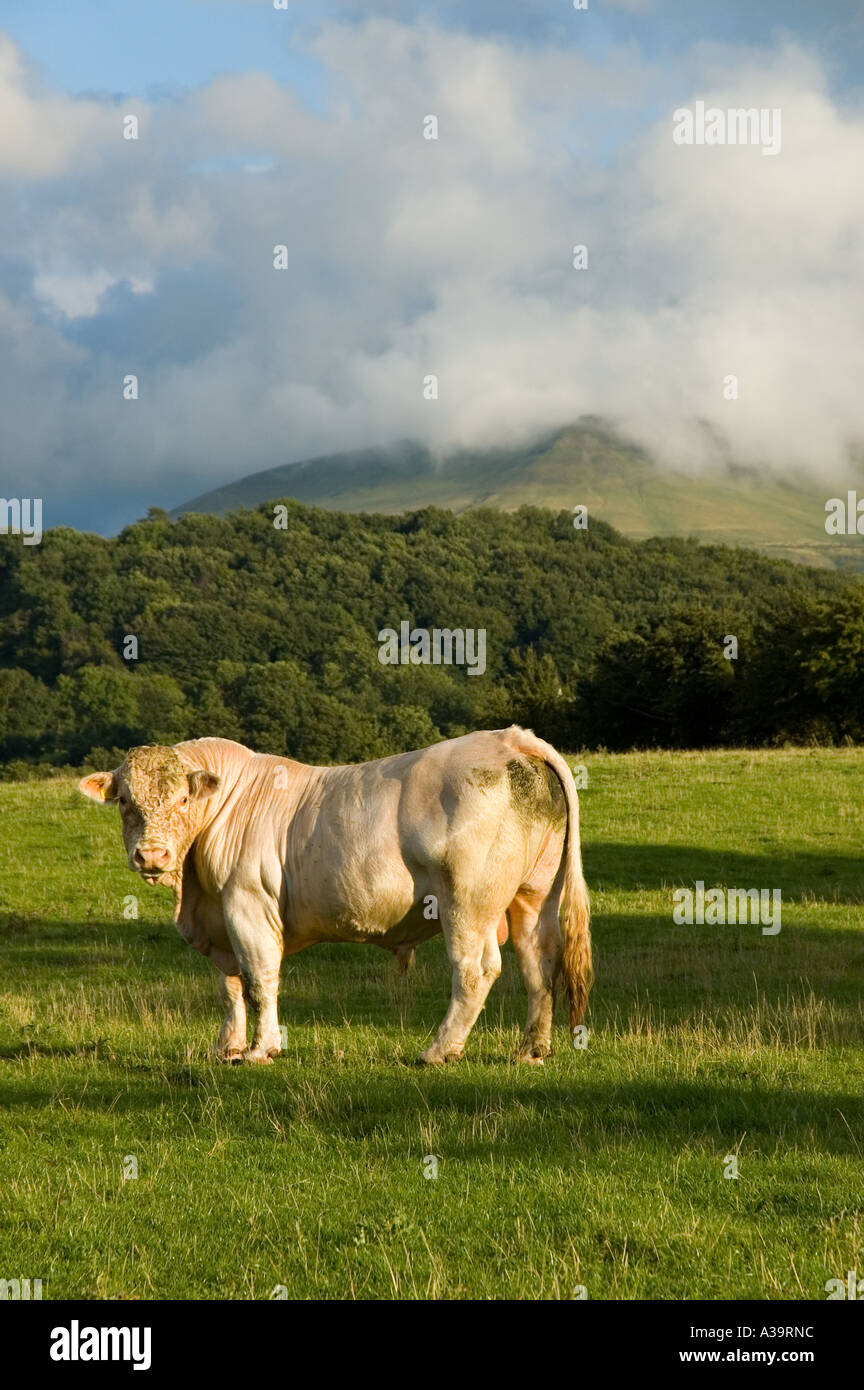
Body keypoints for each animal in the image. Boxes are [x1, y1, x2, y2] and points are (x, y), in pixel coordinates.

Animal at [78, 726, 592, 1065]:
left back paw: (439, 1050)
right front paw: (228, 1047)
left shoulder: (247, 904)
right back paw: (531, 1050)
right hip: (532, 893)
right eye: (125, 801)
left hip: (468, 900)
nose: (151, 854)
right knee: (538, 961)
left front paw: (262, 1049)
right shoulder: (221, 918)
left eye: (182, 799)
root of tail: (509, 738)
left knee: (475, 969)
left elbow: (259, 980)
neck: (194, 893)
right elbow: (230, 986)